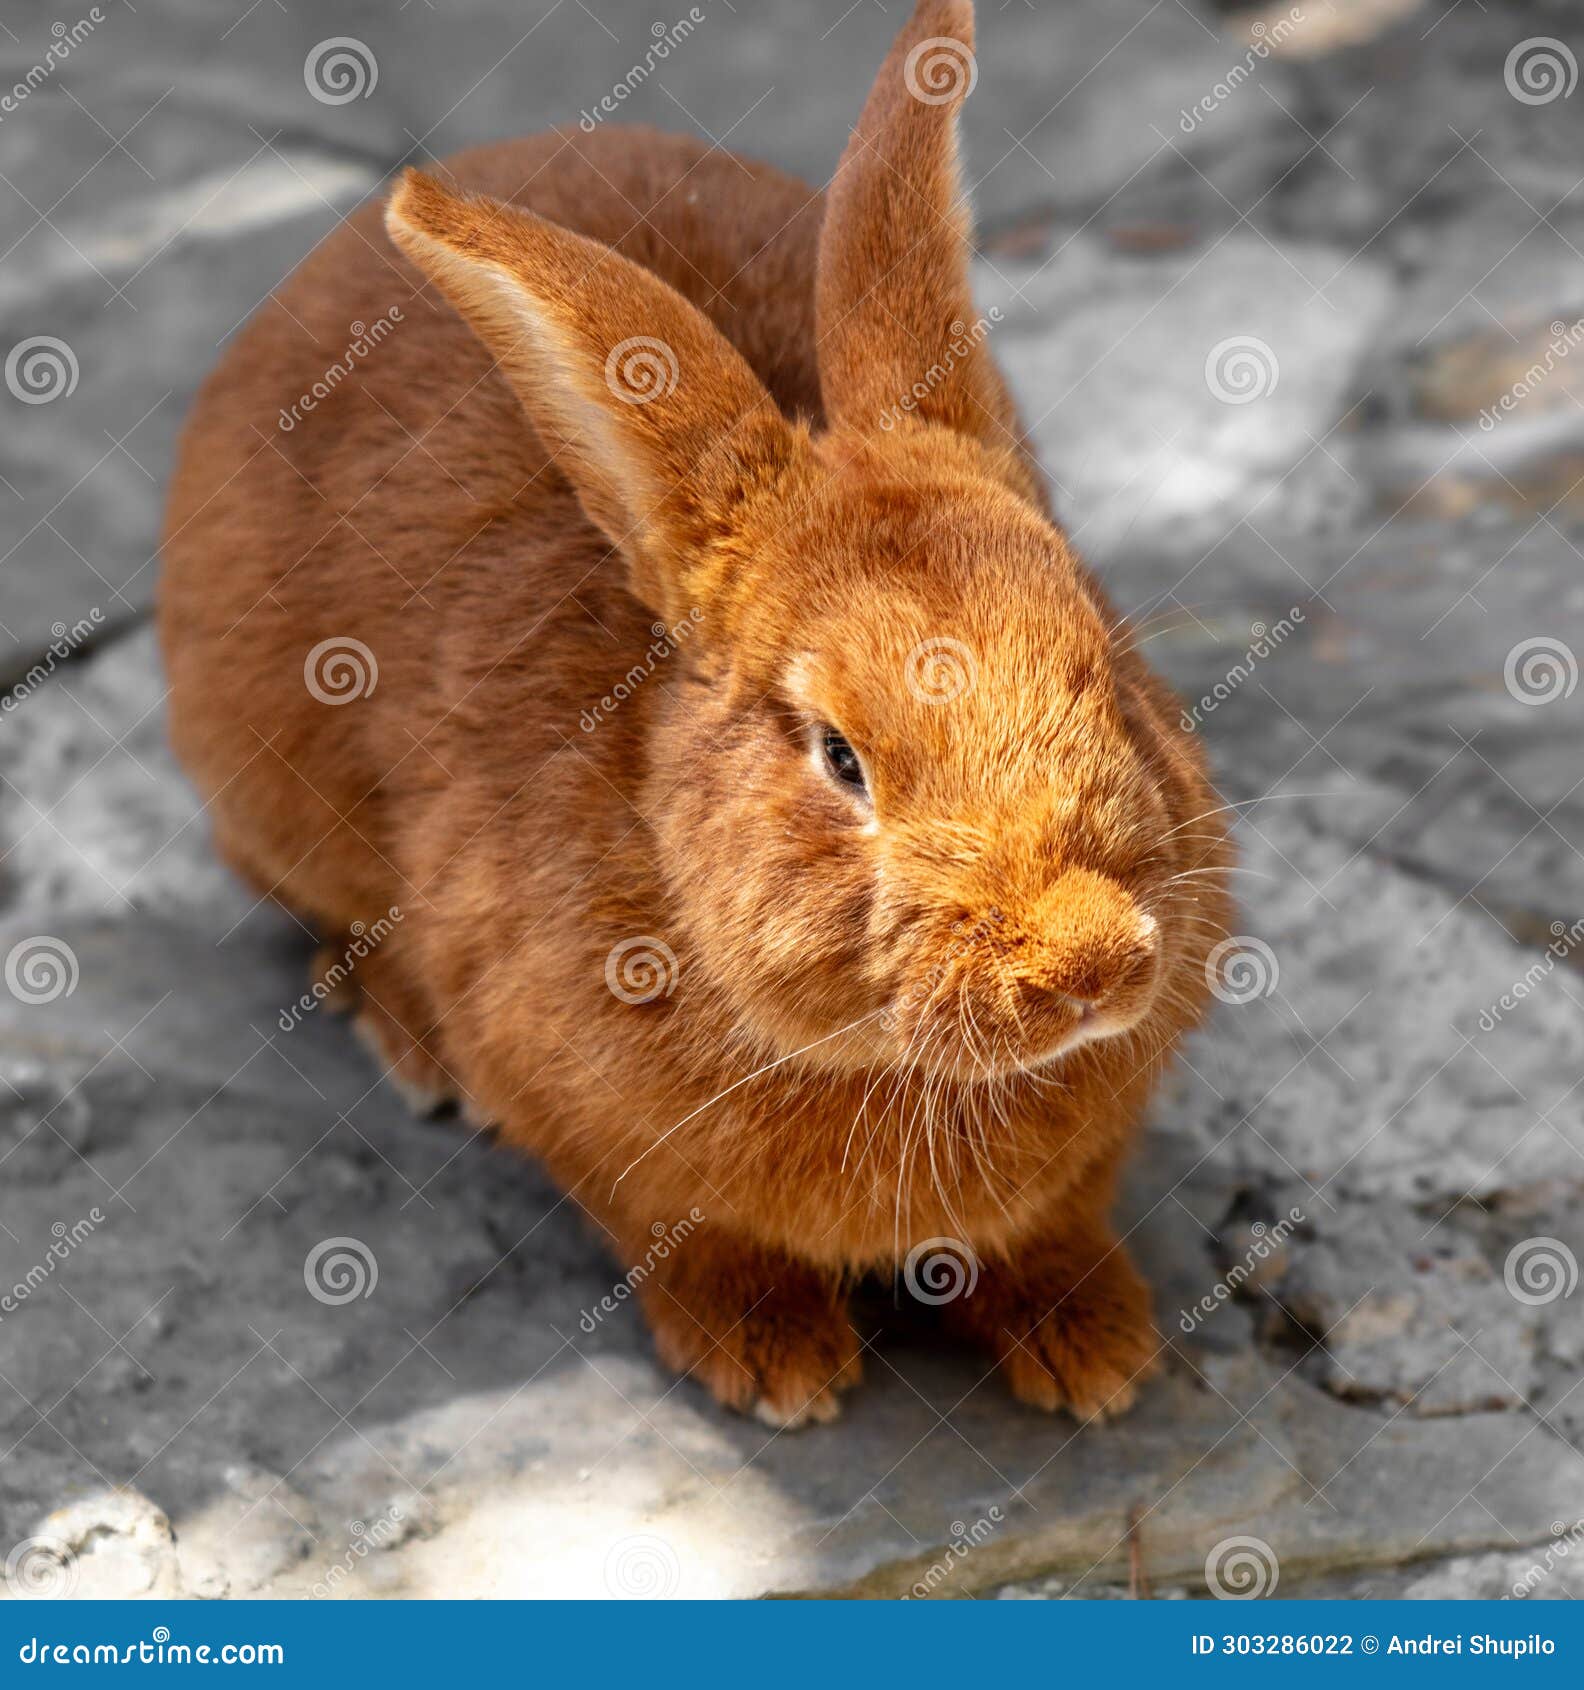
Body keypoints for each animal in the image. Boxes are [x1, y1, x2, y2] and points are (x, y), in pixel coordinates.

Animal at [159, 0, 1233, 1428]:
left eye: (1104, 669)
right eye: (841, 758)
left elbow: (1049, 1229)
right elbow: (688, 1237)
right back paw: (412, 1045)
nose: (1089, 962)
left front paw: (1095, 1350)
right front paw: (775, 1365)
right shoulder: (594, 1129)